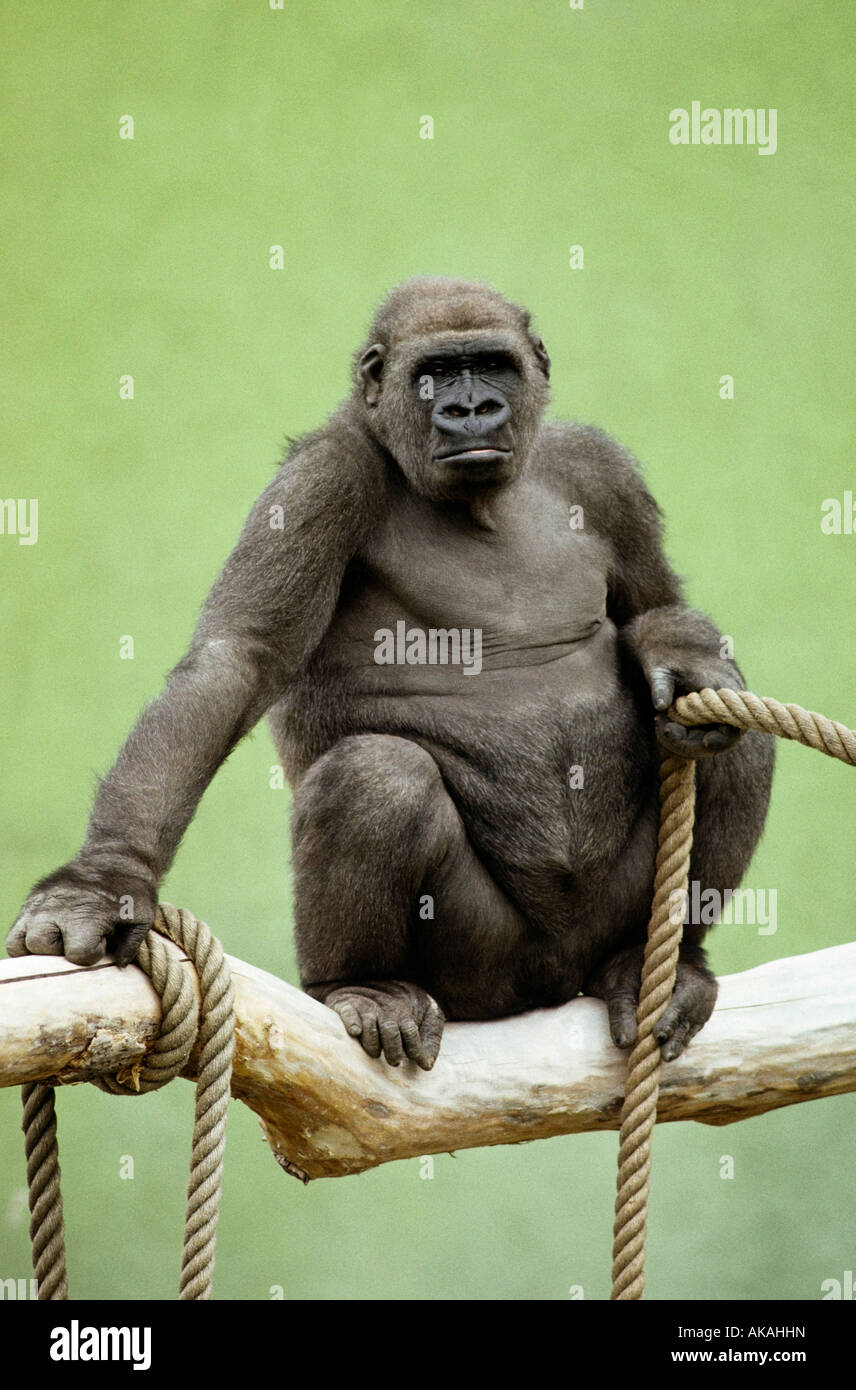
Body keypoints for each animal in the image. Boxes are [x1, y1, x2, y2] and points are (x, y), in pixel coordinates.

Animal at [6, 277, 774, 1071]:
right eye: (434, 373)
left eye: (492, 365)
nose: (473, 409)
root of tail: (553, 985)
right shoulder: (320, 482)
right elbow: (234, 662)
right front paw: (99, 885)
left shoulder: (602, 473)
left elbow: (654, 605)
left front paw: (677, 650)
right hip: (481, 971)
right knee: (377, 776)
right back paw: (362, 983)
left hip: (609, 929)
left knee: (738, 731)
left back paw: (668, 961)